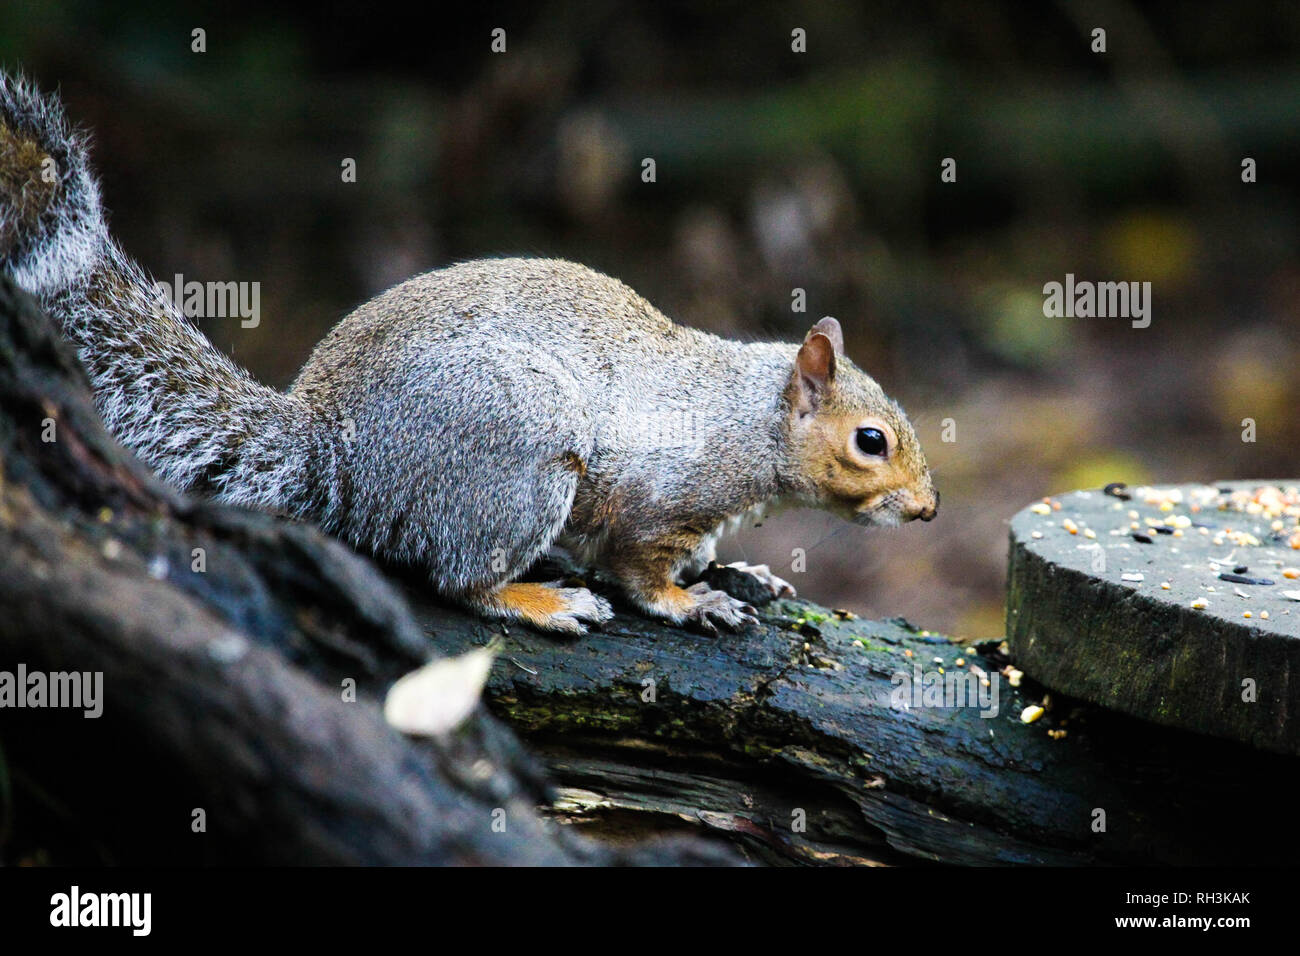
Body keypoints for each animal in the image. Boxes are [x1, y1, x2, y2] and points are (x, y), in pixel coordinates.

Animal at [0, 74, 938, 634]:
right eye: (871, 441)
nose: (928, 511)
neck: (752, 419)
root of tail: (336, 451)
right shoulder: (660, 494)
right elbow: (639, 567)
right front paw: (689, 600)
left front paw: (749, 572)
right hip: (522, 448)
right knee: (460, 579)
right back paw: (542, 598)